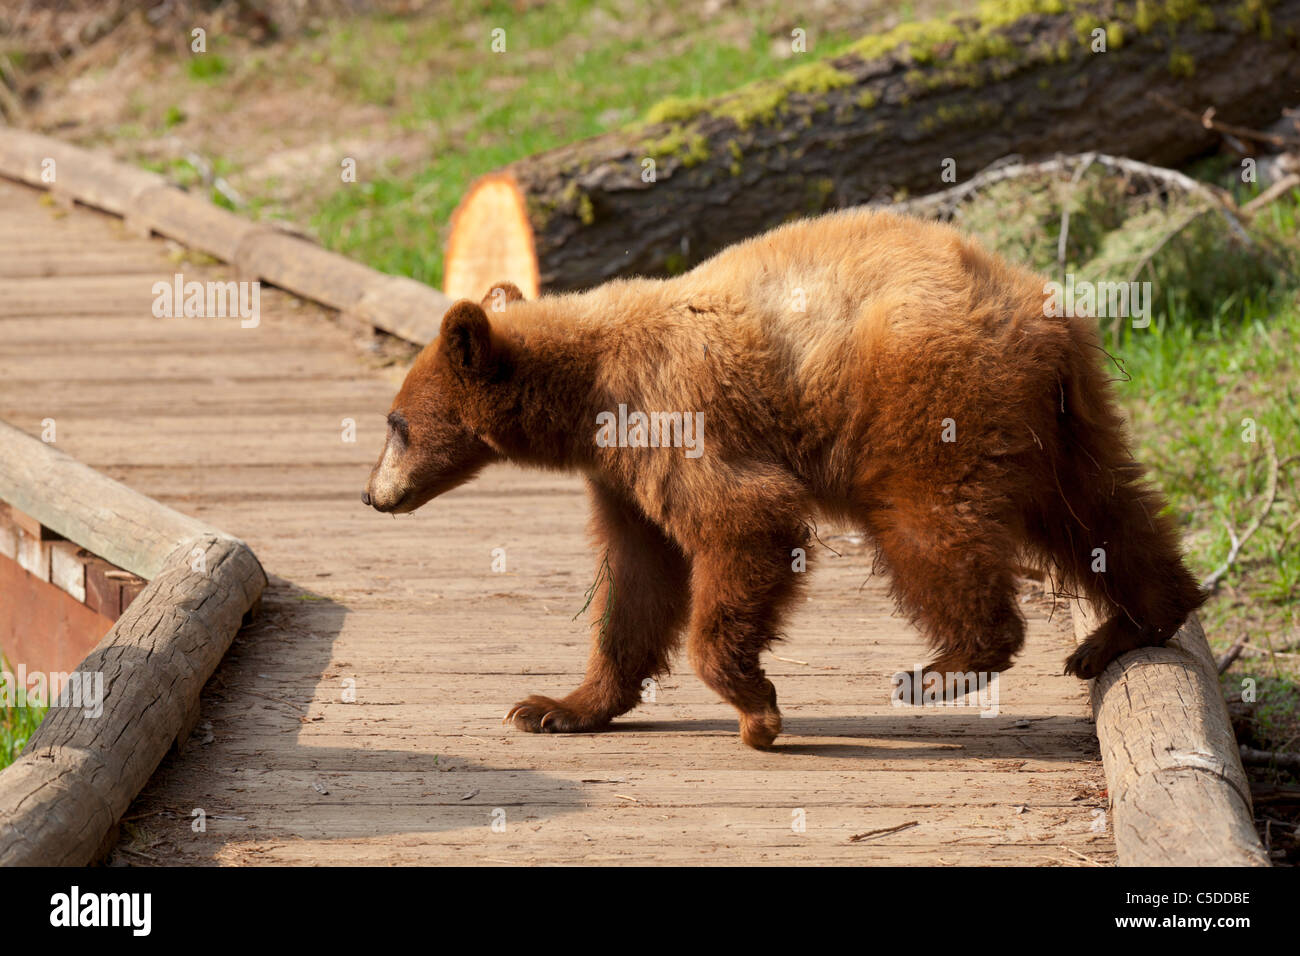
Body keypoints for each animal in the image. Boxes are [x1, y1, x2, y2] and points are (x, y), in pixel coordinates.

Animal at [363, 206, 1205, 749]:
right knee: (1100, 509)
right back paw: (1131, 623)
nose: (373, 494)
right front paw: (555, 705)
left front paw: (756, 707)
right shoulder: (622, 474)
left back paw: (945, 666)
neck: (588, 390)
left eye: (395, 422)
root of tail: (1038, 309)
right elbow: (636, 579)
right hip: (1062, 414)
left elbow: (745, 524)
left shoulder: (674, 418)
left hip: (925, 397)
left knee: (927, 526)